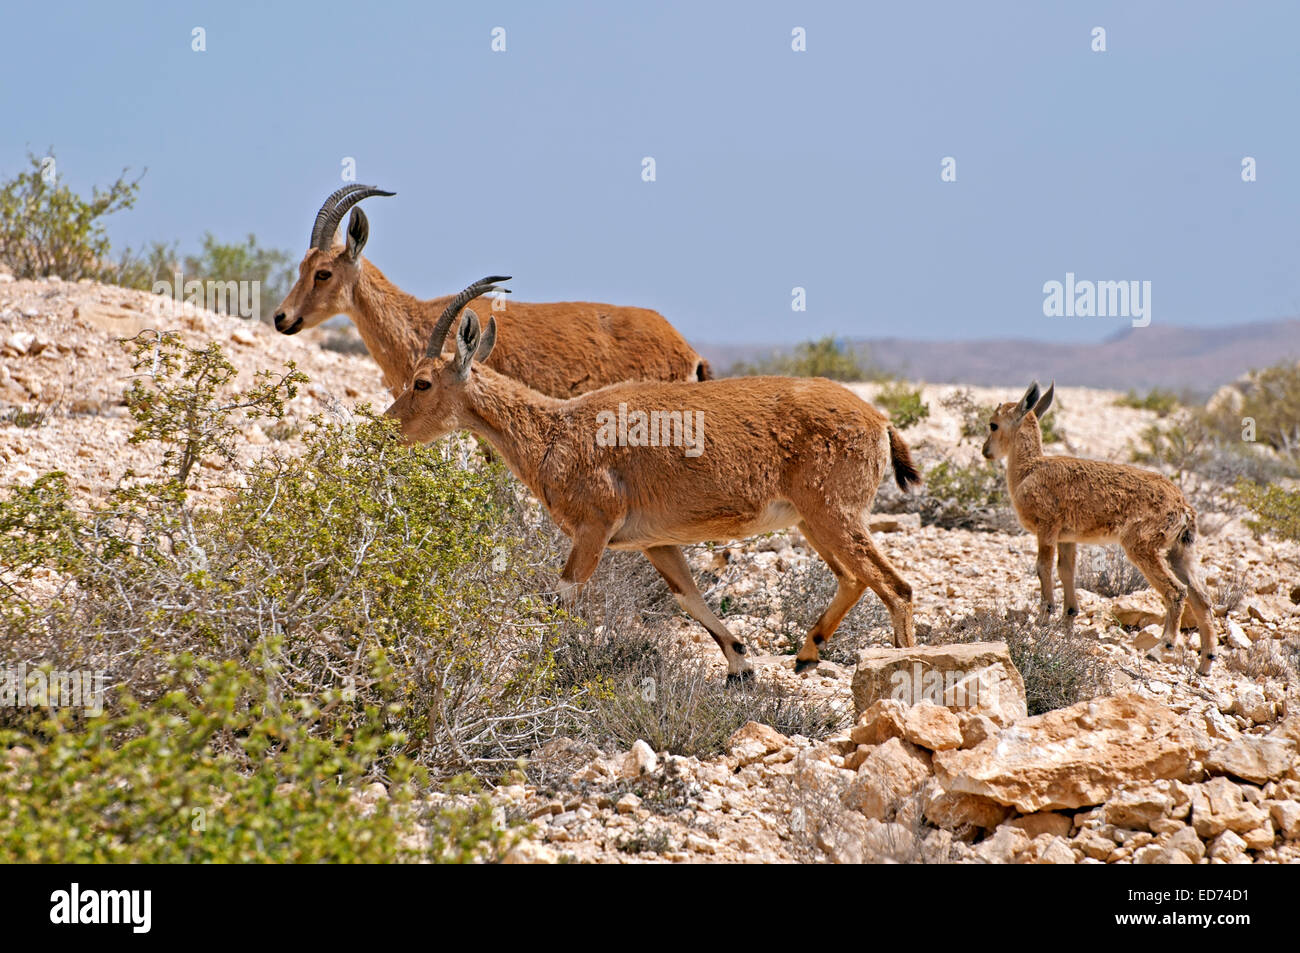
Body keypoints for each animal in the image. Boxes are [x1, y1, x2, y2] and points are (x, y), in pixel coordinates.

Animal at [384, 278, 922, 680]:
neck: (554, 431)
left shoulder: (594, 527)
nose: (389, 427)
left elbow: (563, 597)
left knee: (895, 588)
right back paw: (807, 654)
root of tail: (878, 421)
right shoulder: (655, 541)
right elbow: (689, 597)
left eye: (422, 382)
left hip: (833, 512)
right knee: (853, 578)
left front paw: (535, 670)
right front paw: (740, 667)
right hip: (812, 520)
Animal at [982, 381, 1218, 674]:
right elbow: (1066, 571)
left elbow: (1043, 568)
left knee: (1177, 592)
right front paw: (1067, 621)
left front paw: (1043, 617)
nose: (985, 451)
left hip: (1142, 547)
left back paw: (1161, 648)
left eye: (993, 425)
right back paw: (1206, 661)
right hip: (1179, 552)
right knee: (1202, 598)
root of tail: (1183, 508)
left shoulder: (1047, 528)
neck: (1028, 471)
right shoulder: (1067, 537)